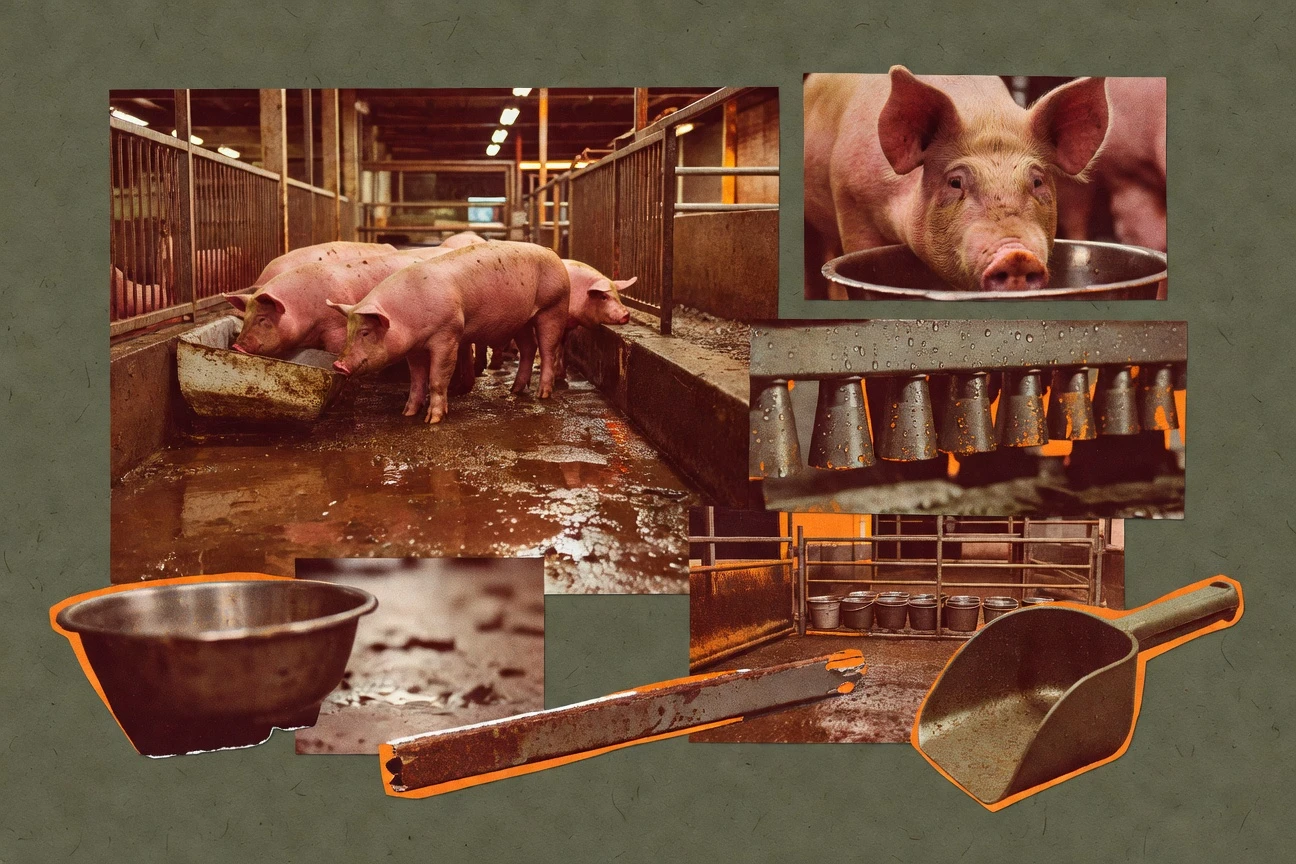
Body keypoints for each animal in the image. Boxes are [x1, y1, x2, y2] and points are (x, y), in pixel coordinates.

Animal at [326, 241, 571, 424]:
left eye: (365, 332)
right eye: (349, 331)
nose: (338, 364)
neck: (406, 315)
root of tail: (552, 253)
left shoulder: (448, 334)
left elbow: (436, 379)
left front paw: (432, 420)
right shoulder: (414, 349)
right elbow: (417, 380)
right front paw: (407, 413)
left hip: (553, 307)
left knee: (547, 350)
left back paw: (542, 394)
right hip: (522, 320)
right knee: (529, 348)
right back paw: (515, 390)